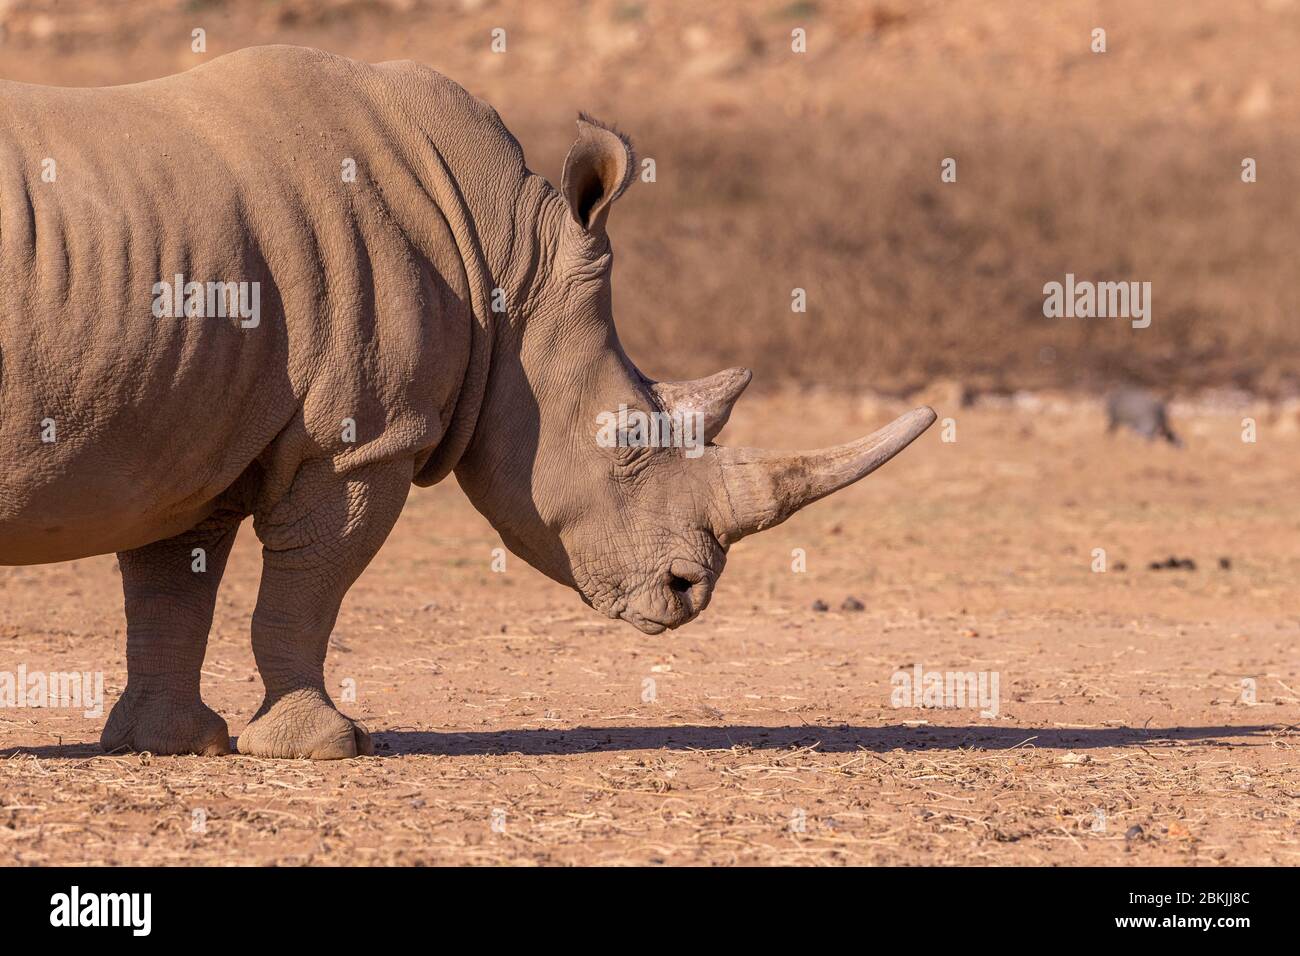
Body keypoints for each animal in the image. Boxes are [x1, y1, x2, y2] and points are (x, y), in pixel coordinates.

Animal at [0, 47, 934, 758]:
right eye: (630, 441)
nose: (687, 592)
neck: (504, 259)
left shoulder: (181, 427)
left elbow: (169, 588)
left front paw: (169, 744)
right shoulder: (362, 438)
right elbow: (307, 588)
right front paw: (328, 746)